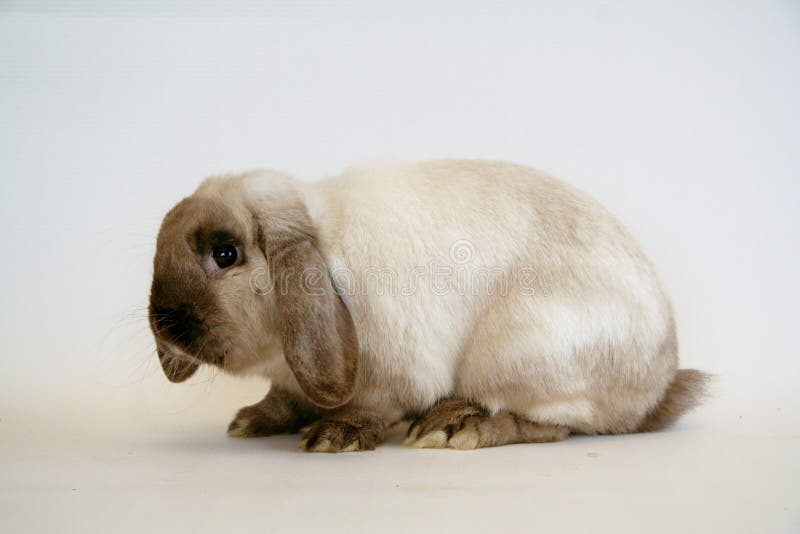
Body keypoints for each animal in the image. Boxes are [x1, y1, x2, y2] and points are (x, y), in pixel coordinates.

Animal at [149, 159, 709, 452]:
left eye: (226, 253)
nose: (164, 322)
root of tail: (658, 384)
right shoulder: (290, 380)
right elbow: (282, 399)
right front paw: (251, 421)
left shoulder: (394, 374)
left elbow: (375, 406)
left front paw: (335, 434)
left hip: (521, 349)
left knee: (550, 424)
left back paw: (455, 426)